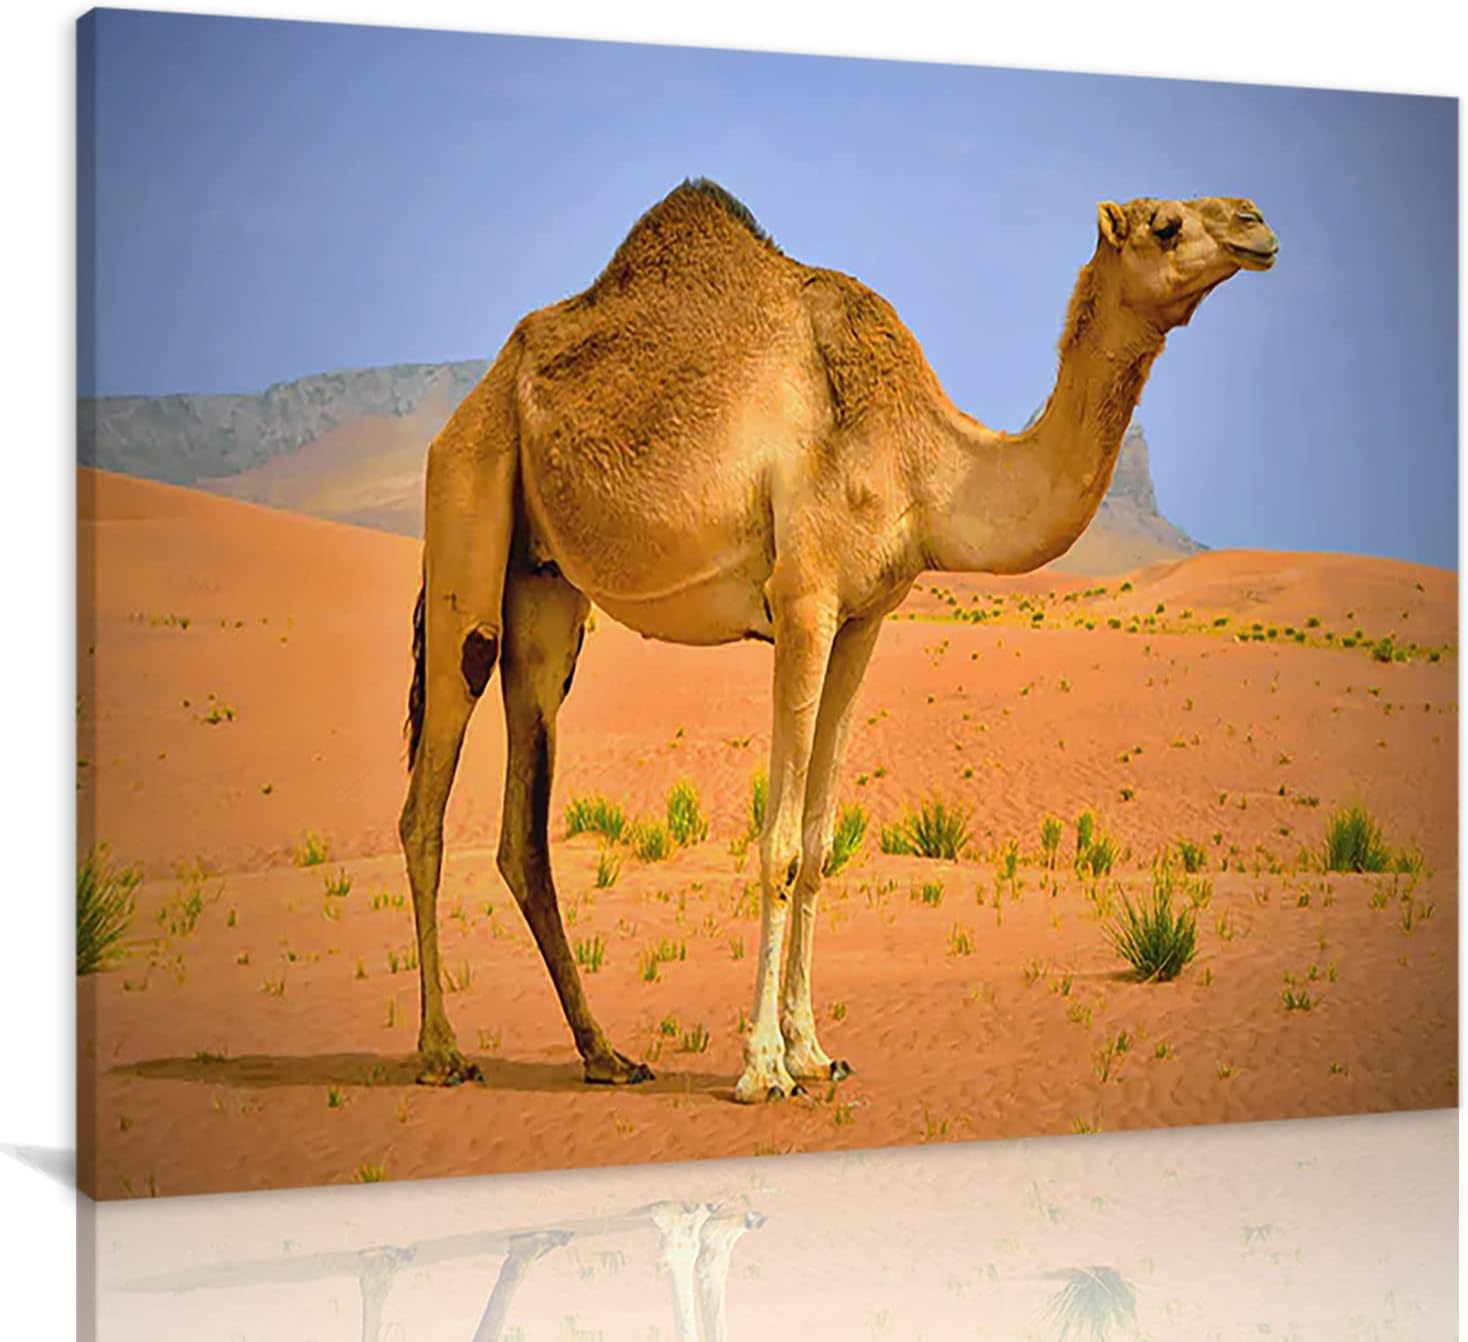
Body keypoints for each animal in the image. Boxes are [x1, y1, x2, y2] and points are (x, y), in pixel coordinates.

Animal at [399, 177, 1278, 1103]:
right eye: (1166, 224)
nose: (1256, 223)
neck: (926, 463)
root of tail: (481, 392)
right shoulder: (804, 602)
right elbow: (779, 845)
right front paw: (762, 1067)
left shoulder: (865, 619)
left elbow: (820, 846)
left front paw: (815, 1051)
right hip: (469, 494)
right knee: (429, 793)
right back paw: (441, 1051)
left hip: (545, 588)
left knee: (523, 828)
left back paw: (605, 1054)